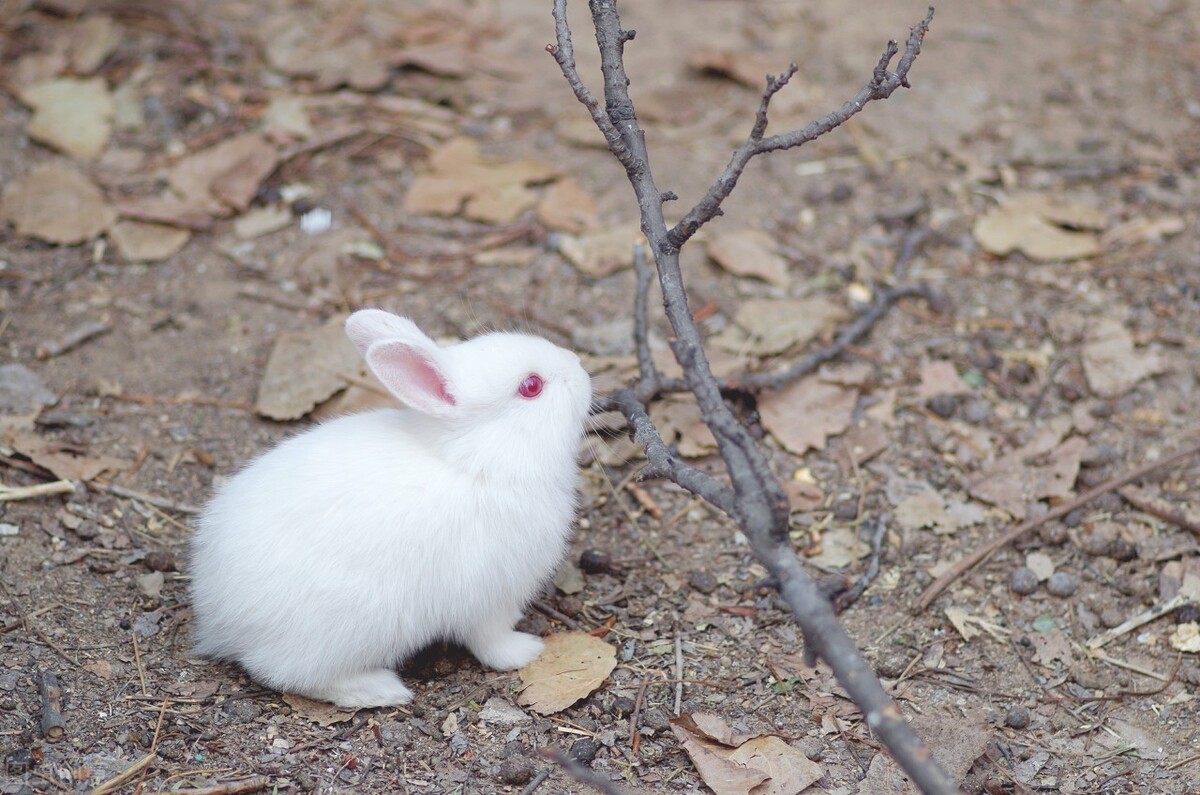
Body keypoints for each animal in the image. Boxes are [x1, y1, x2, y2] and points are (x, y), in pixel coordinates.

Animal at [189, 309, 593, 708]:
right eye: (531, 386)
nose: (579, 366)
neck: (477, 460)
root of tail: (217, 615)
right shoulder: (488, 597)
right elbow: (491, 641)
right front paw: (527, 651)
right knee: (286, 671)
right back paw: (380, 689)